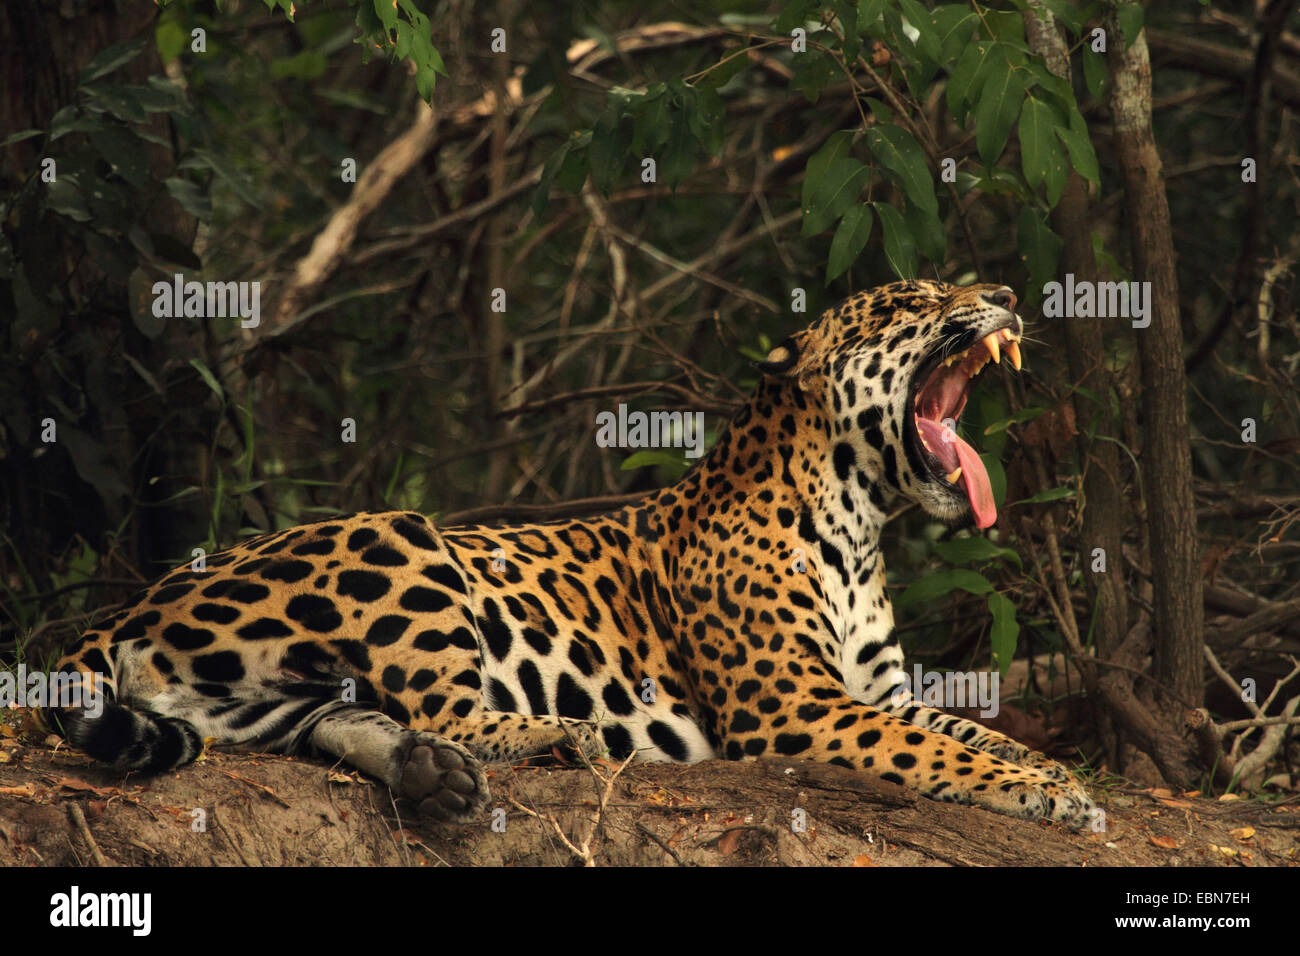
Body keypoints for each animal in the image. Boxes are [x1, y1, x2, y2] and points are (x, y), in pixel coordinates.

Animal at [48, 279, 1095, 828]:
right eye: (911, 301)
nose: (1006, 293)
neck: (857, 521)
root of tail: (135, 605)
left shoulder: (875, 690)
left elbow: (971, 733)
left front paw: (1060, 779)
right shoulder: (795, 707)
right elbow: (934, 750)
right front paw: (1048, 797)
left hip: (257, 702)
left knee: (343, 722)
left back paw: (436, 774)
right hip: (400, 536)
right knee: (450, 706)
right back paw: (565, 736)